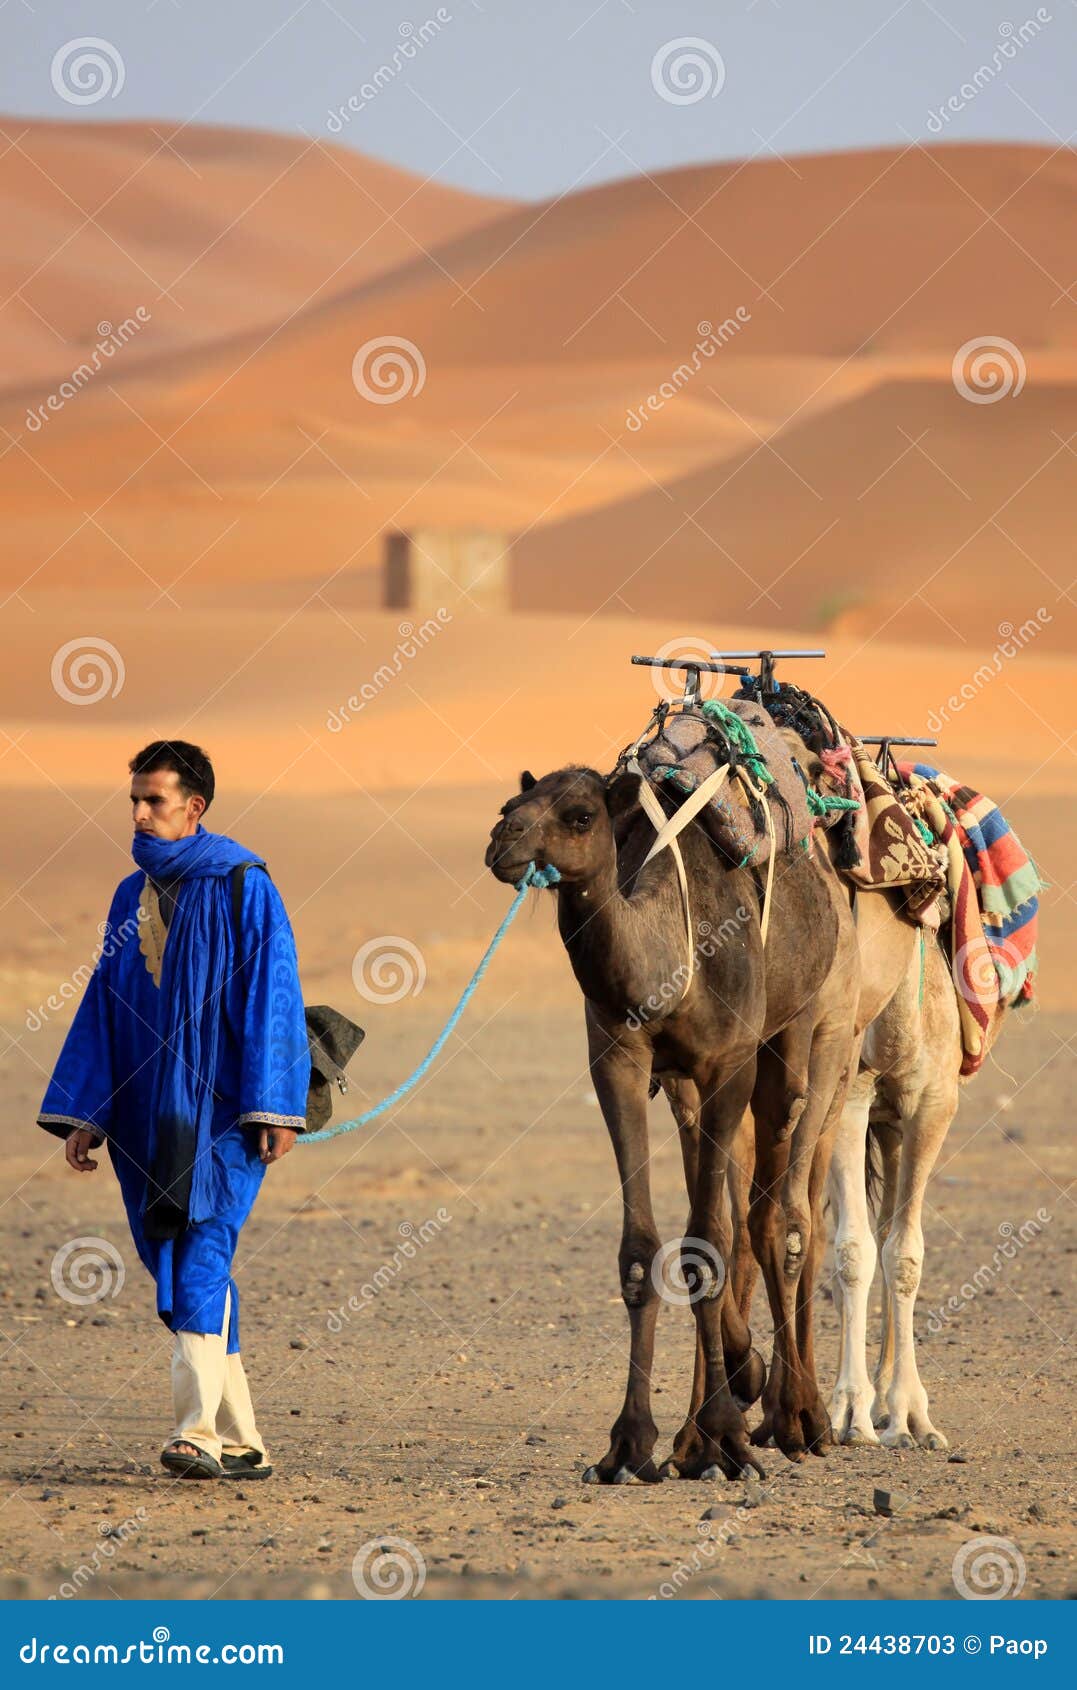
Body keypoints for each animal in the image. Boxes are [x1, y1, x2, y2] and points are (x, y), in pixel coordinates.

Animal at [485, 761, 861, 1480]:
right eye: (508, 804)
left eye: (579, 815)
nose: (501, 843)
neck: (673, 961)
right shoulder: (618, 1060)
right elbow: (648, 1251)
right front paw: (630, 1444)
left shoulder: (728, 1065)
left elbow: (711, 1242)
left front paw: (730, 1434)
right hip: (689, 1088)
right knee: (737, 1217)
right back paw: (709, 1423)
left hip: (803, 1030)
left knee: (781, 1216)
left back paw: (799, 1417)